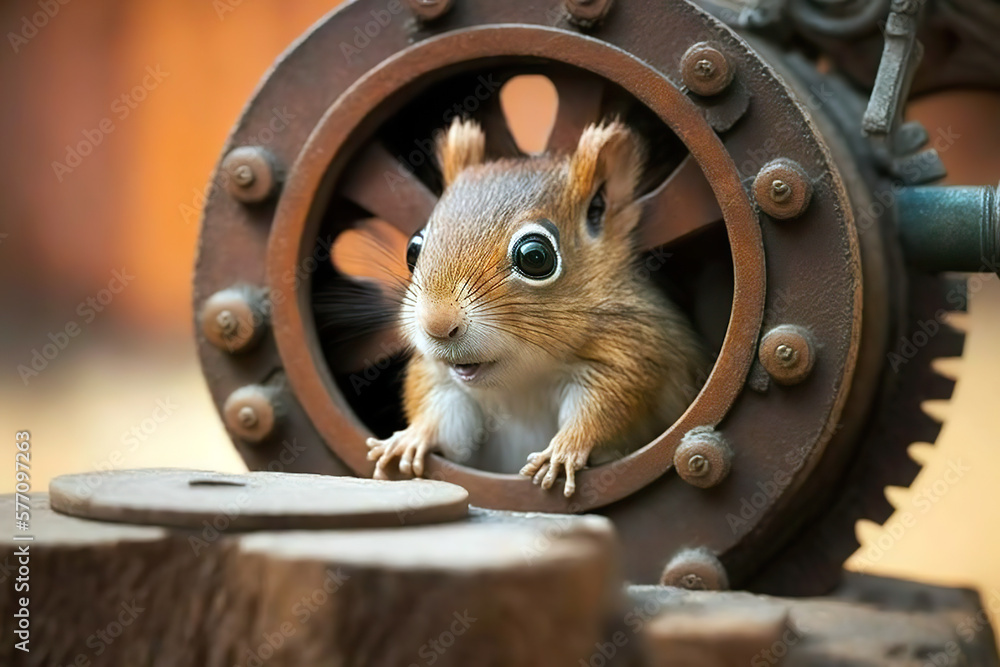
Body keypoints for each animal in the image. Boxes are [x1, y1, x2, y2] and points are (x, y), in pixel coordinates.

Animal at [365, 117, 710, 497]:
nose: (437, 324)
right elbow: (443, 415)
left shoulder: (632, 353)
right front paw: (410, 438)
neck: (520, 381)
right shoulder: (444, 380)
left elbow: (606, 408)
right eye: (413, 248)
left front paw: (564, 450)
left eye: (535, 257)